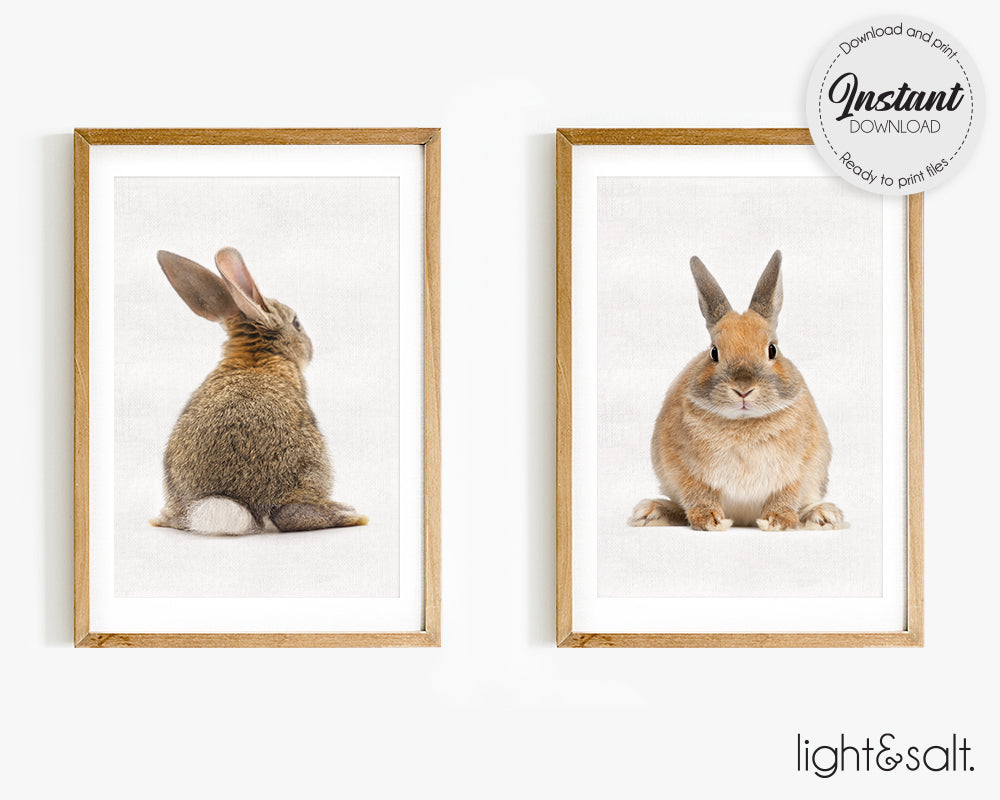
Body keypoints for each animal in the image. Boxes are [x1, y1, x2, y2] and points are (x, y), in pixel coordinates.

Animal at [149, 247, 367, 535]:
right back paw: (349, 513)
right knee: (287, 514)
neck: (257, 354)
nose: (310, 348)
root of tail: (229, 501)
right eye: (297, 323)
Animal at [627, 251, 846, 531]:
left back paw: (824, 515)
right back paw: (650, 512)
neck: (744, 424)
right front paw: (710, 521)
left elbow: (786, 496)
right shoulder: (686, 471)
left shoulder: (797, 471)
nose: (743, 389)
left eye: (772, 350)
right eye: (714, 352)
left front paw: (777, 521)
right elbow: (698, 494)